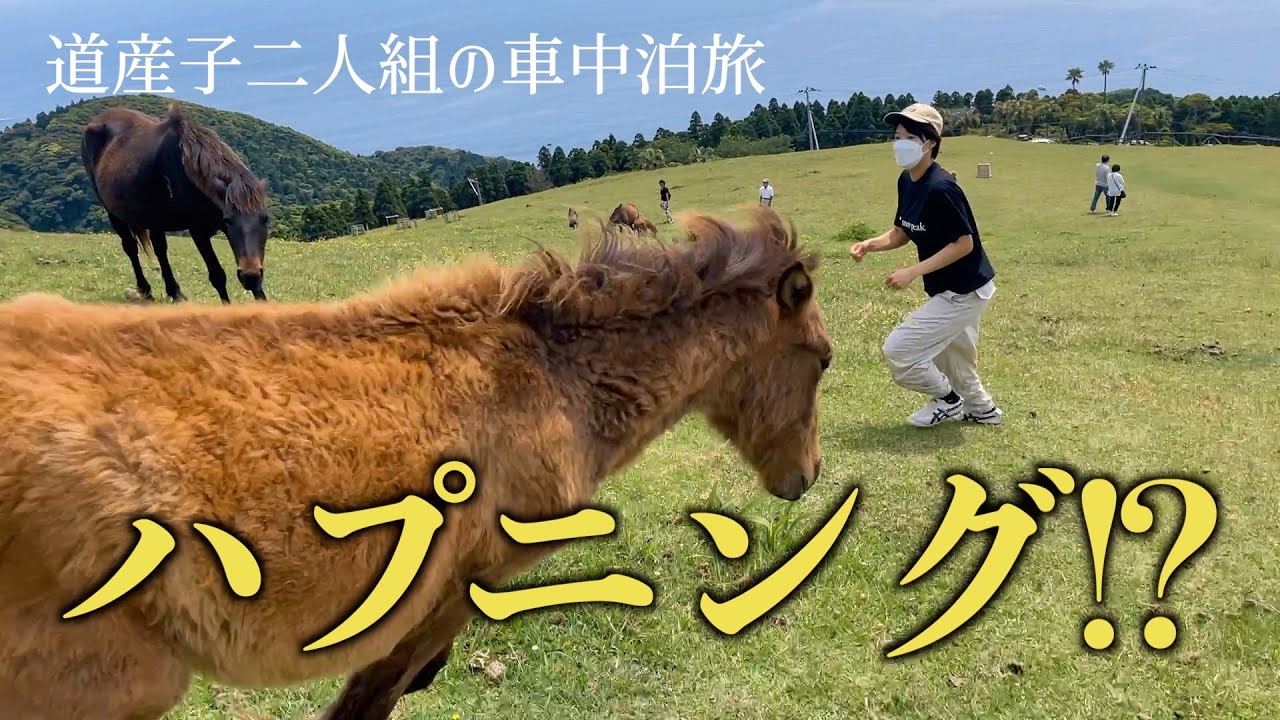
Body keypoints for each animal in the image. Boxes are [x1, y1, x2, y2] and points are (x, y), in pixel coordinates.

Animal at [81, 102, 271, 304]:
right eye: (228, 220)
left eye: (265, 219)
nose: (250, 275)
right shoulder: (198, 230)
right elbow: (217, 275)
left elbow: (258, 290)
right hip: (113, 212)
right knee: (131, 247)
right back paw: (145, 289)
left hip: (154, 217)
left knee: (160, 249)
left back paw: (174, 292)